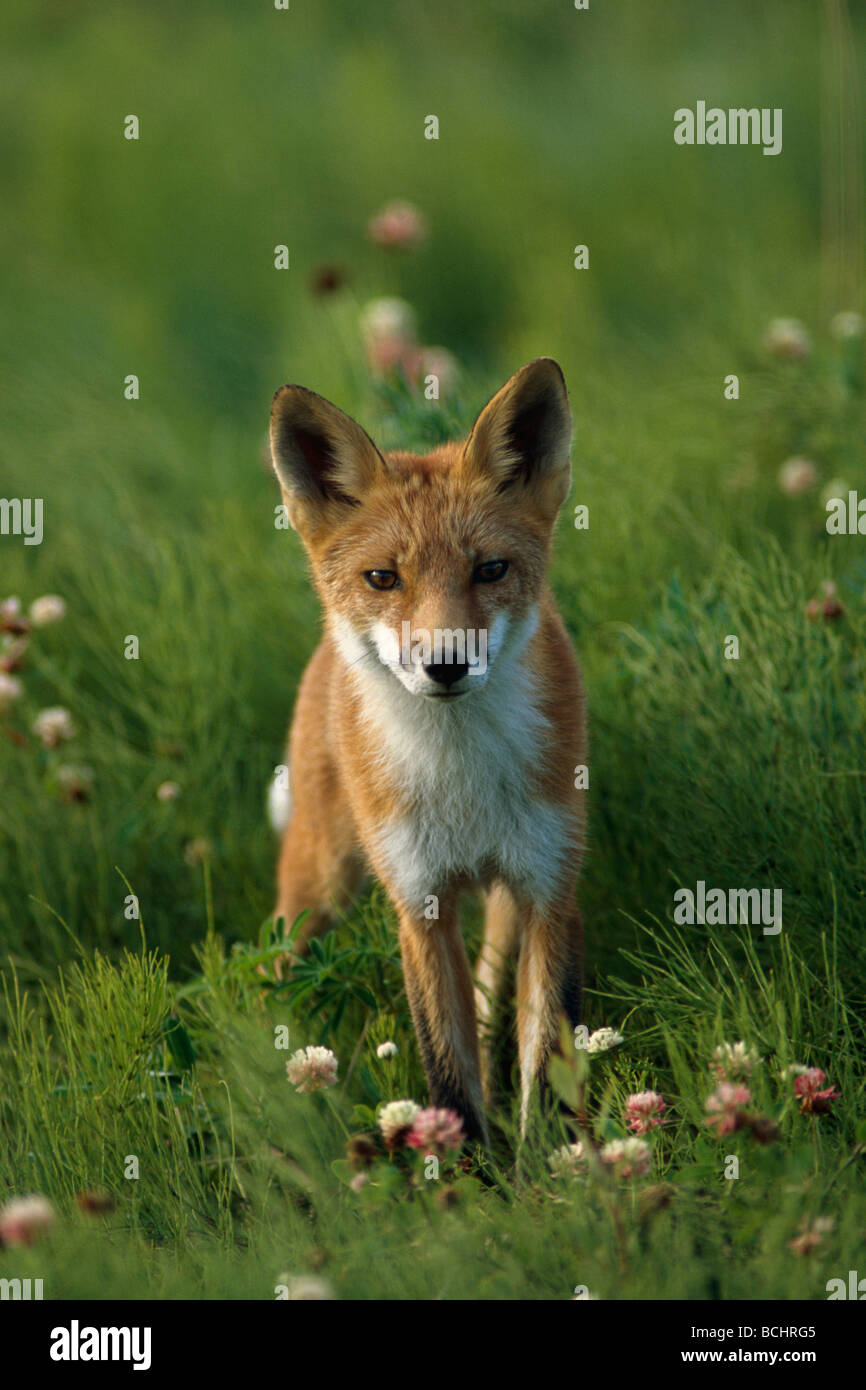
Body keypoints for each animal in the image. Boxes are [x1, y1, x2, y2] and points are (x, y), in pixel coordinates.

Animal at [267, 357, 587, 1145]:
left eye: (490, 570)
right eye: (384, 578)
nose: (445, 664)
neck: (460, 779)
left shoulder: (550, 890)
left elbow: (545, 1067)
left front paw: (551, 1167)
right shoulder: (419, 905)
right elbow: (448, 1077)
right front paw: (463, 1167)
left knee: (492, 997)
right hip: (319, 886)